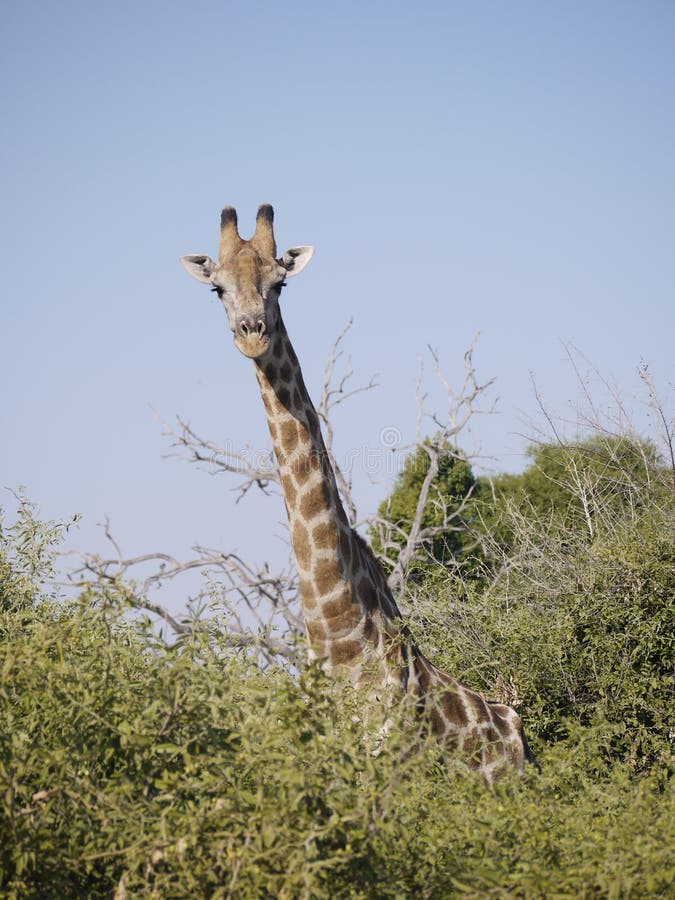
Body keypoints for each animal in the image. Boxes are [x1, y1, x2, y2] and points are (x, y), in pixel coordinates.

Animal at [180, 204, 537, 782]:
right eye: (217, 288)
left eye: (279, 284)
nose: (252, 333)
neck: (338, 636)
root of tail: (518, 735)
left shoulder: (383, 765)